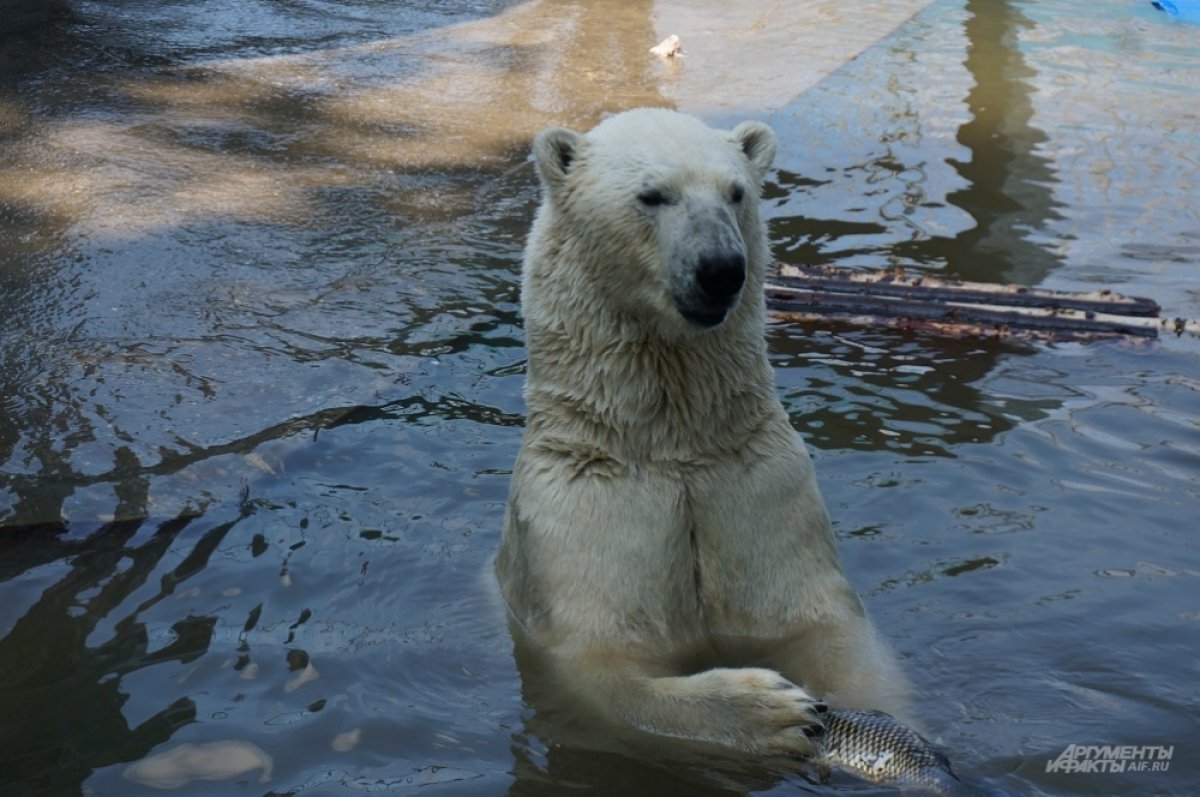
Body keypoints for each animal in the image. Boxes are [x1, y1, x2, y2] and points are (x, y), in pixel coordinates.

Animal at [496, 107, 907, 758]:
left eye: (736, 192)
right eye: (651, 194)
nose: (721, 269)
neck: (670, 444)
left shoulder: (759, 487)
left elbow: (827, 629)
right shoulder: (583, 508)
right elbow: (601, 672)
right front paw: (773, 708)